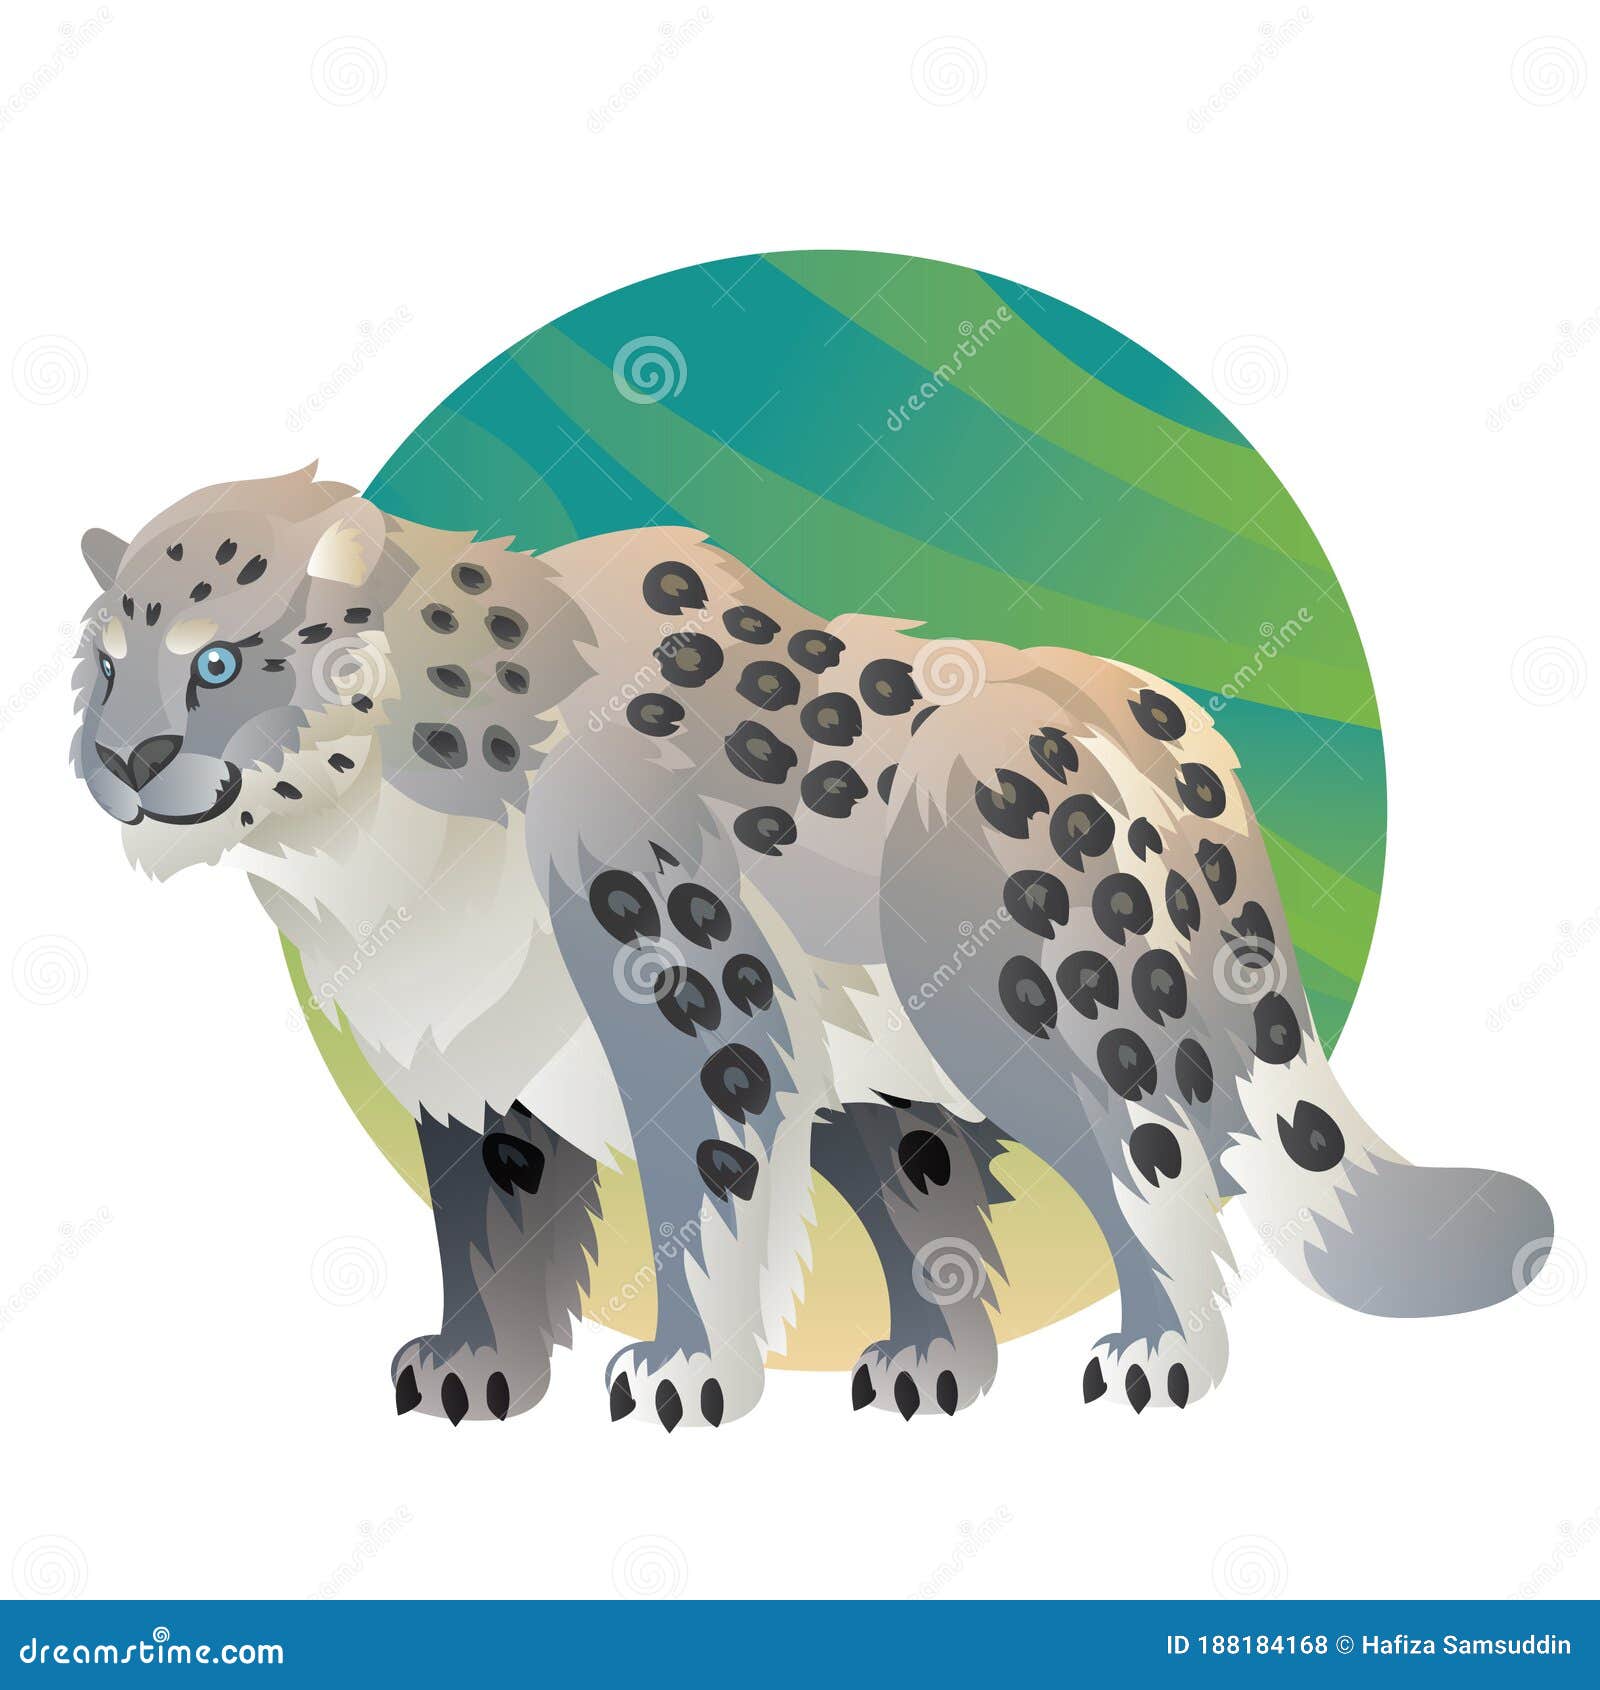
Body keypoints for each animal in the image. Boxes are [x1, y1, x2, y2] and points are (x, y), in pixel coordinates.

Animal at [71, 462, 1554, 1428]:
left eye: (218, 659)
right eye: (100, 663)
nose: (120, 758)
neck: (377, 873)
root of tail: (1163, 716)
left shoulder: (695, 1006)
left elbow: (702, 1194)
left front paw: (683, 1371)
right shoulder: (477, 1066)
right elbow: (492, 1217)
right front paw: (473, 1368)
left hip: (1041, 1011)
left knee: (1155, 1157)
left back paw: (1155, 1350)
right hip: (885, 1069)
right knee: (930, 1187)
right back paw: (926, 1366)